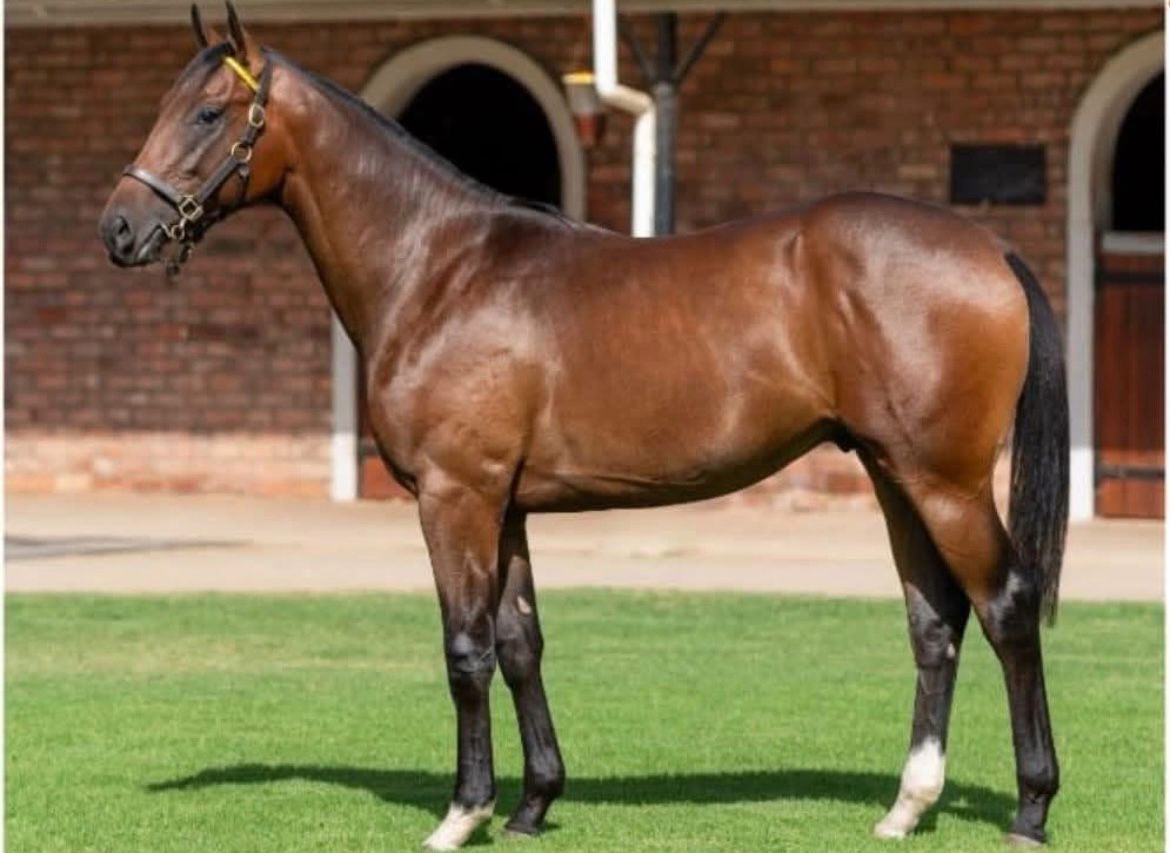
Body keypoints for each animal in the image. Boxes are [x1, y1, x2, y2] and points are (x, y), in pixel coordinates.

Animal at [100, 5, 1068, 849]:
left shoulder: (455, 497)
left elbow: (466, 649)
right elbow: (521, 643)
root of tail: (990, 248)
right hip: (889, 469)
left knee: (1006, 607)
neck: (438, 268)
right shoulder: (507, 506)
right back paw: (907, 806)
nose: (120, 228)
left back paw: (1031, 807)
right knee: (935, 622)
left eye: (209, 112)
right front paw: (533, 804)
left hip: (942, 480)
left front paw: (463, 812)